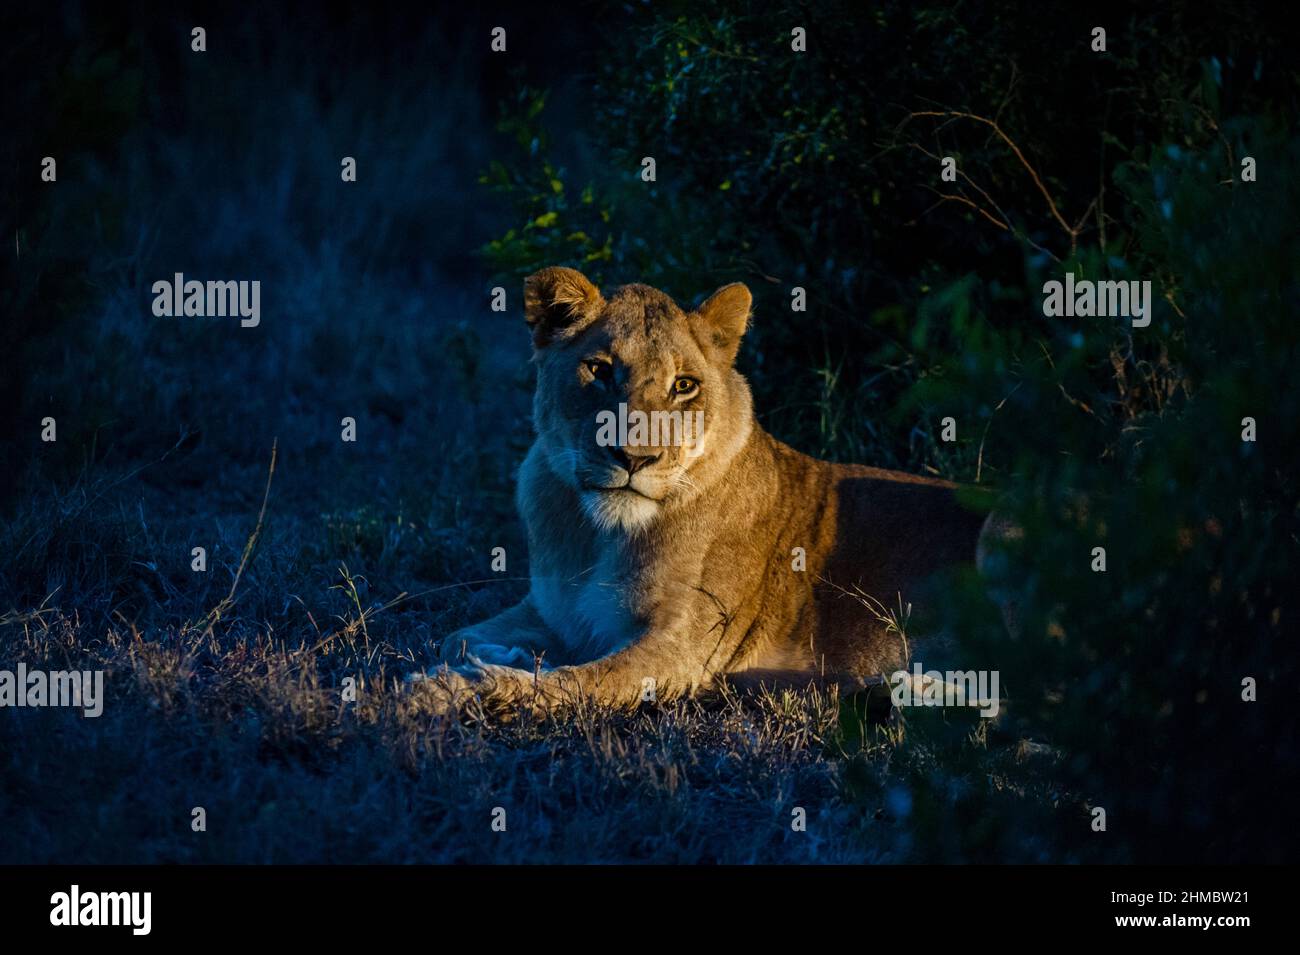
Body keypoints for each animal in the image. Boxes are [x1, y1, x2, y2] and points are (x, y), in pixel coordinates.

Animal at [411, 266, 1008, 713]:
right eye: (600, 371)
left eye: (684, 386)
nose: (634, 458)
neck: (599, 532)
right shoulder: (552, 607)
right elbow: (455, 634)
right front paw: (500, 652)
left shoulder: (679, 649)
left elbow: (571, 682)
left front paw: (458, 687)